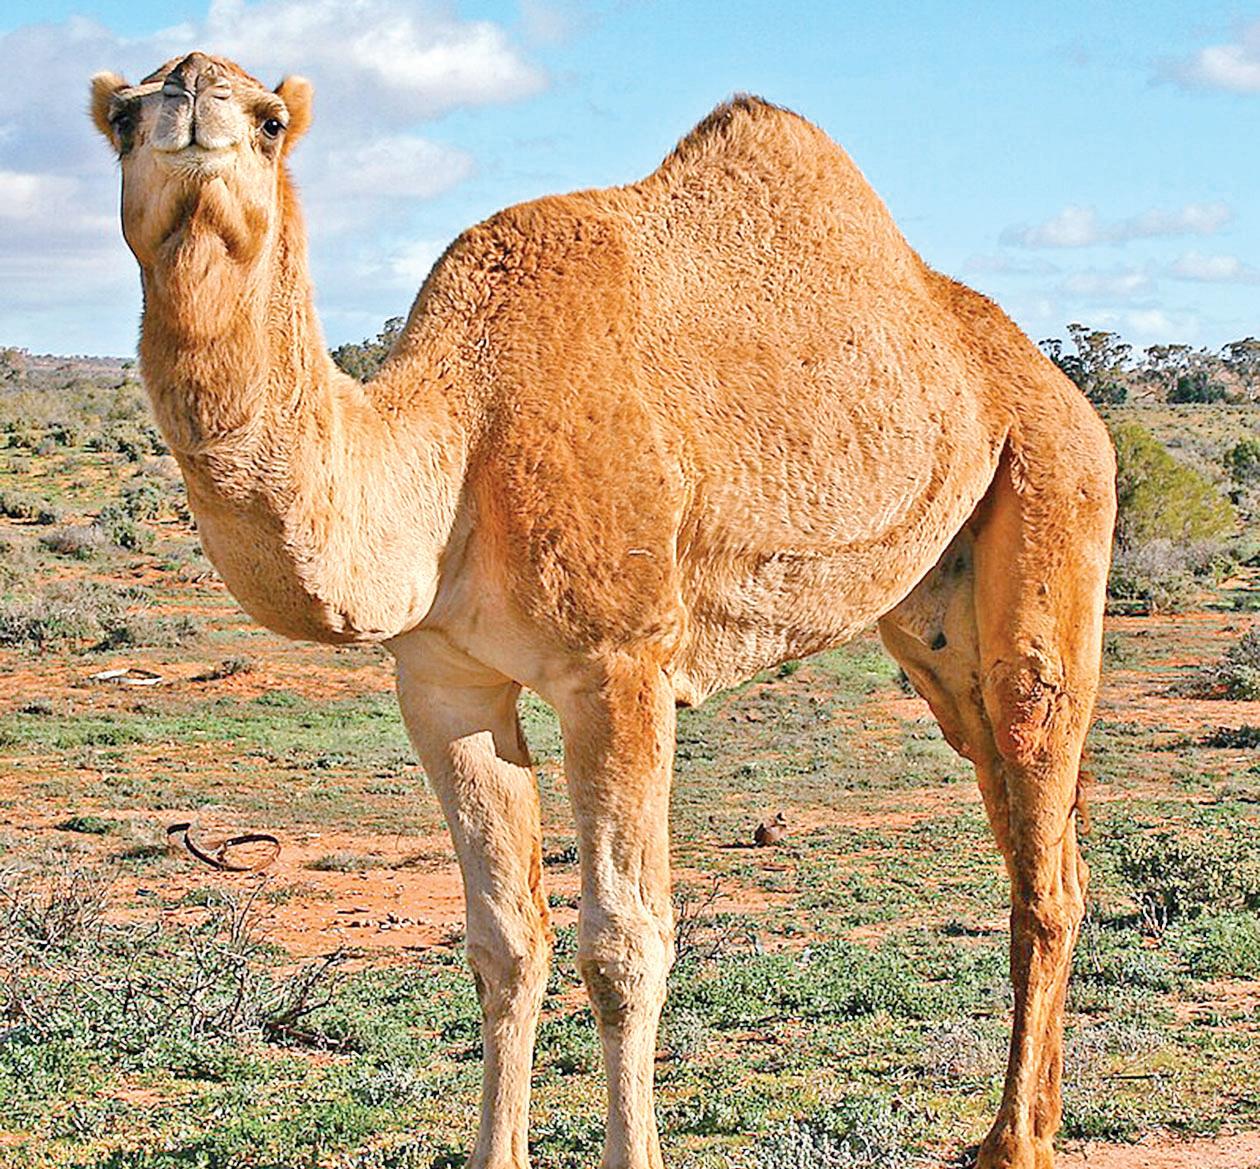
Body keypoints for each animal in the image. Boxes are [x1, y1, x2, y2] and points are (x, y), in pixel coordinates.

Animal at [89, 52, 1116, 1169]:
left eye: (272, 120)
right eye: (124, 116)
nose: (191, 100)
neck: (458, 440)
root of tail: (1060, 388)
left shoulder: (619, 662)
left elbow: (625, 943)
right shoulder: (443, 680)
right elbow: (504, 937)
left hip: (1053, 487)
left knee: (1041, 807)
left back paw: (1011, 1141)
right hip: (937, 619)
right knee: (1022, 809)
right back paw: (1035, 1119)